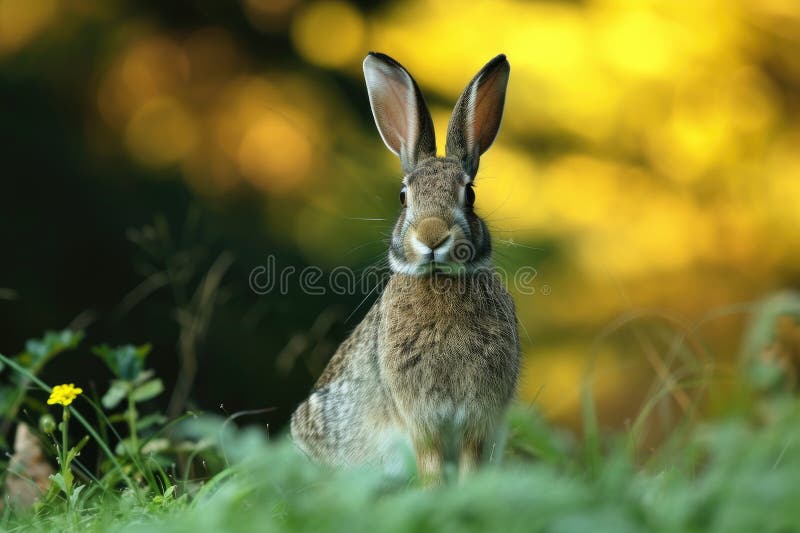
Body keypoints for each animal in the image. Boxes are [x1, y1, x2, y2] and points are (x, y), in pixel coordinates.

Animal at [291, 52, 519, 484]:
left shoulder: (477, 421)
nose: (432, 237)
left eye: (470, 195)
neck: (439, 281)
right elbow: (431, 467)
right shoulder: (421, 420)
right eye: (403, 197)